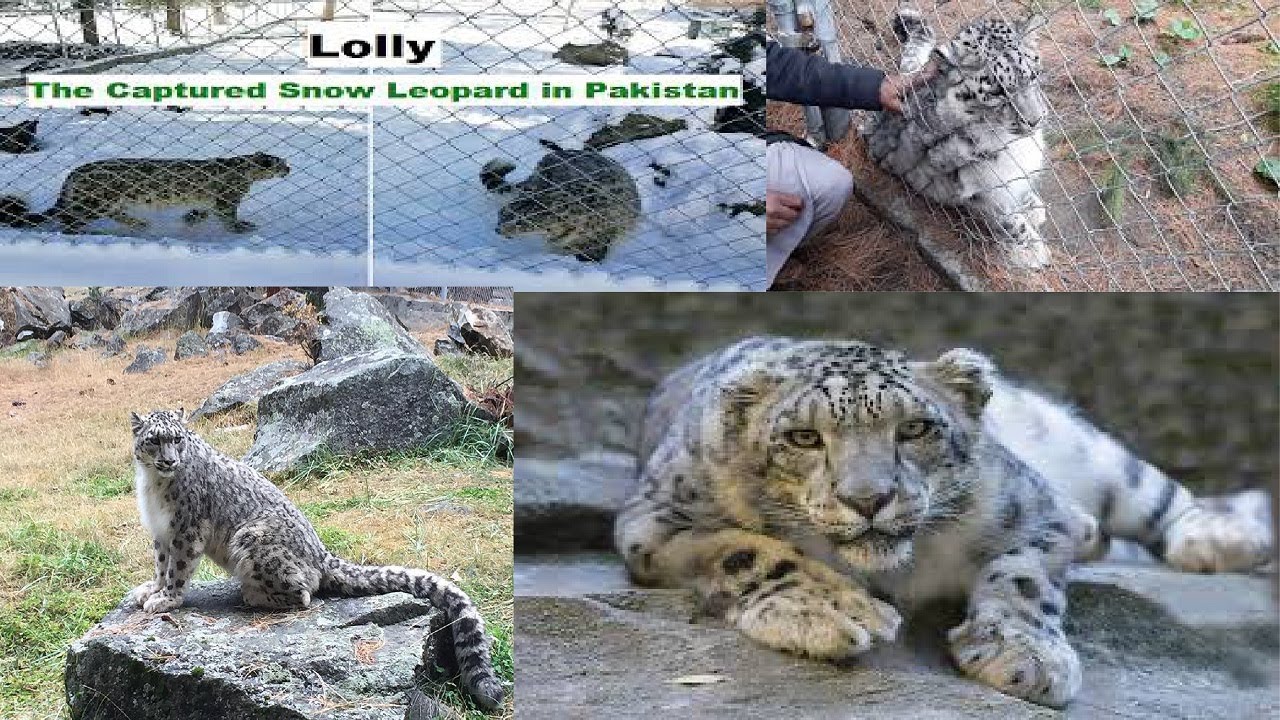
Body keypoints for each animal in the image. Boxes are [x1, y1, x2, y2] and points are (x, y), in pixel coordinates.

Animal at [0, 152, 289, 234]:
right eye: (281, 163)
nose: (290, 168)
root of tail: (74, 173)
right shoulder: (226, 201)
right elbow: (229, 218)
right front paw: (241, 228)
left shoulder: (209, 202)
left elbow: (201, 211)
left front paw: (189, 219)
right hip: (95, 202)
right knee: (68, 218)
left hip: (111, 203)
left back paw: (138, 223)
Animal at [128, 409, 504, 711]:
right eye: (155, 440)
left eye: (178, 439)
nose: (169, 461)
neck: (153, 486)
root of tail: (322, 553)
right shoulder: (161, 531)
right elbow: (161, 564)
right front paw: (150, 591)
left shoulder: (186, 529)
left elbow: (178, 568)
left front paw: (167, 600)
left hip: (250, 538)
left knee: (305, 593)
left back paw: (253, 595)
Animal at [615, 336, 1273, 708]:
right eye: (803, 437)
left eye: (914, 429)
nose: (869, 498)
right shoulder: (656, 520)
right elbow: (744, 547)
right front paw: (833, 612)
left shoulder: (1038, 509)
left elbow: (1025, 576)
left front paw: (1025, 657)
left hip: (1079, 446)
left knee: (1147, 491)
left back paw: (1217, 536)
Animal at [863, 1, 1053, 269]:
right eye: (997, 91)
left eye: (1034, 74)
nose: (1034, 119)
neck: (1014, 143)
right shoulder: (982, 190)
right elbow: (1010, 221)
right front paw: (1033, 250)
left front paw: (1032, 205)